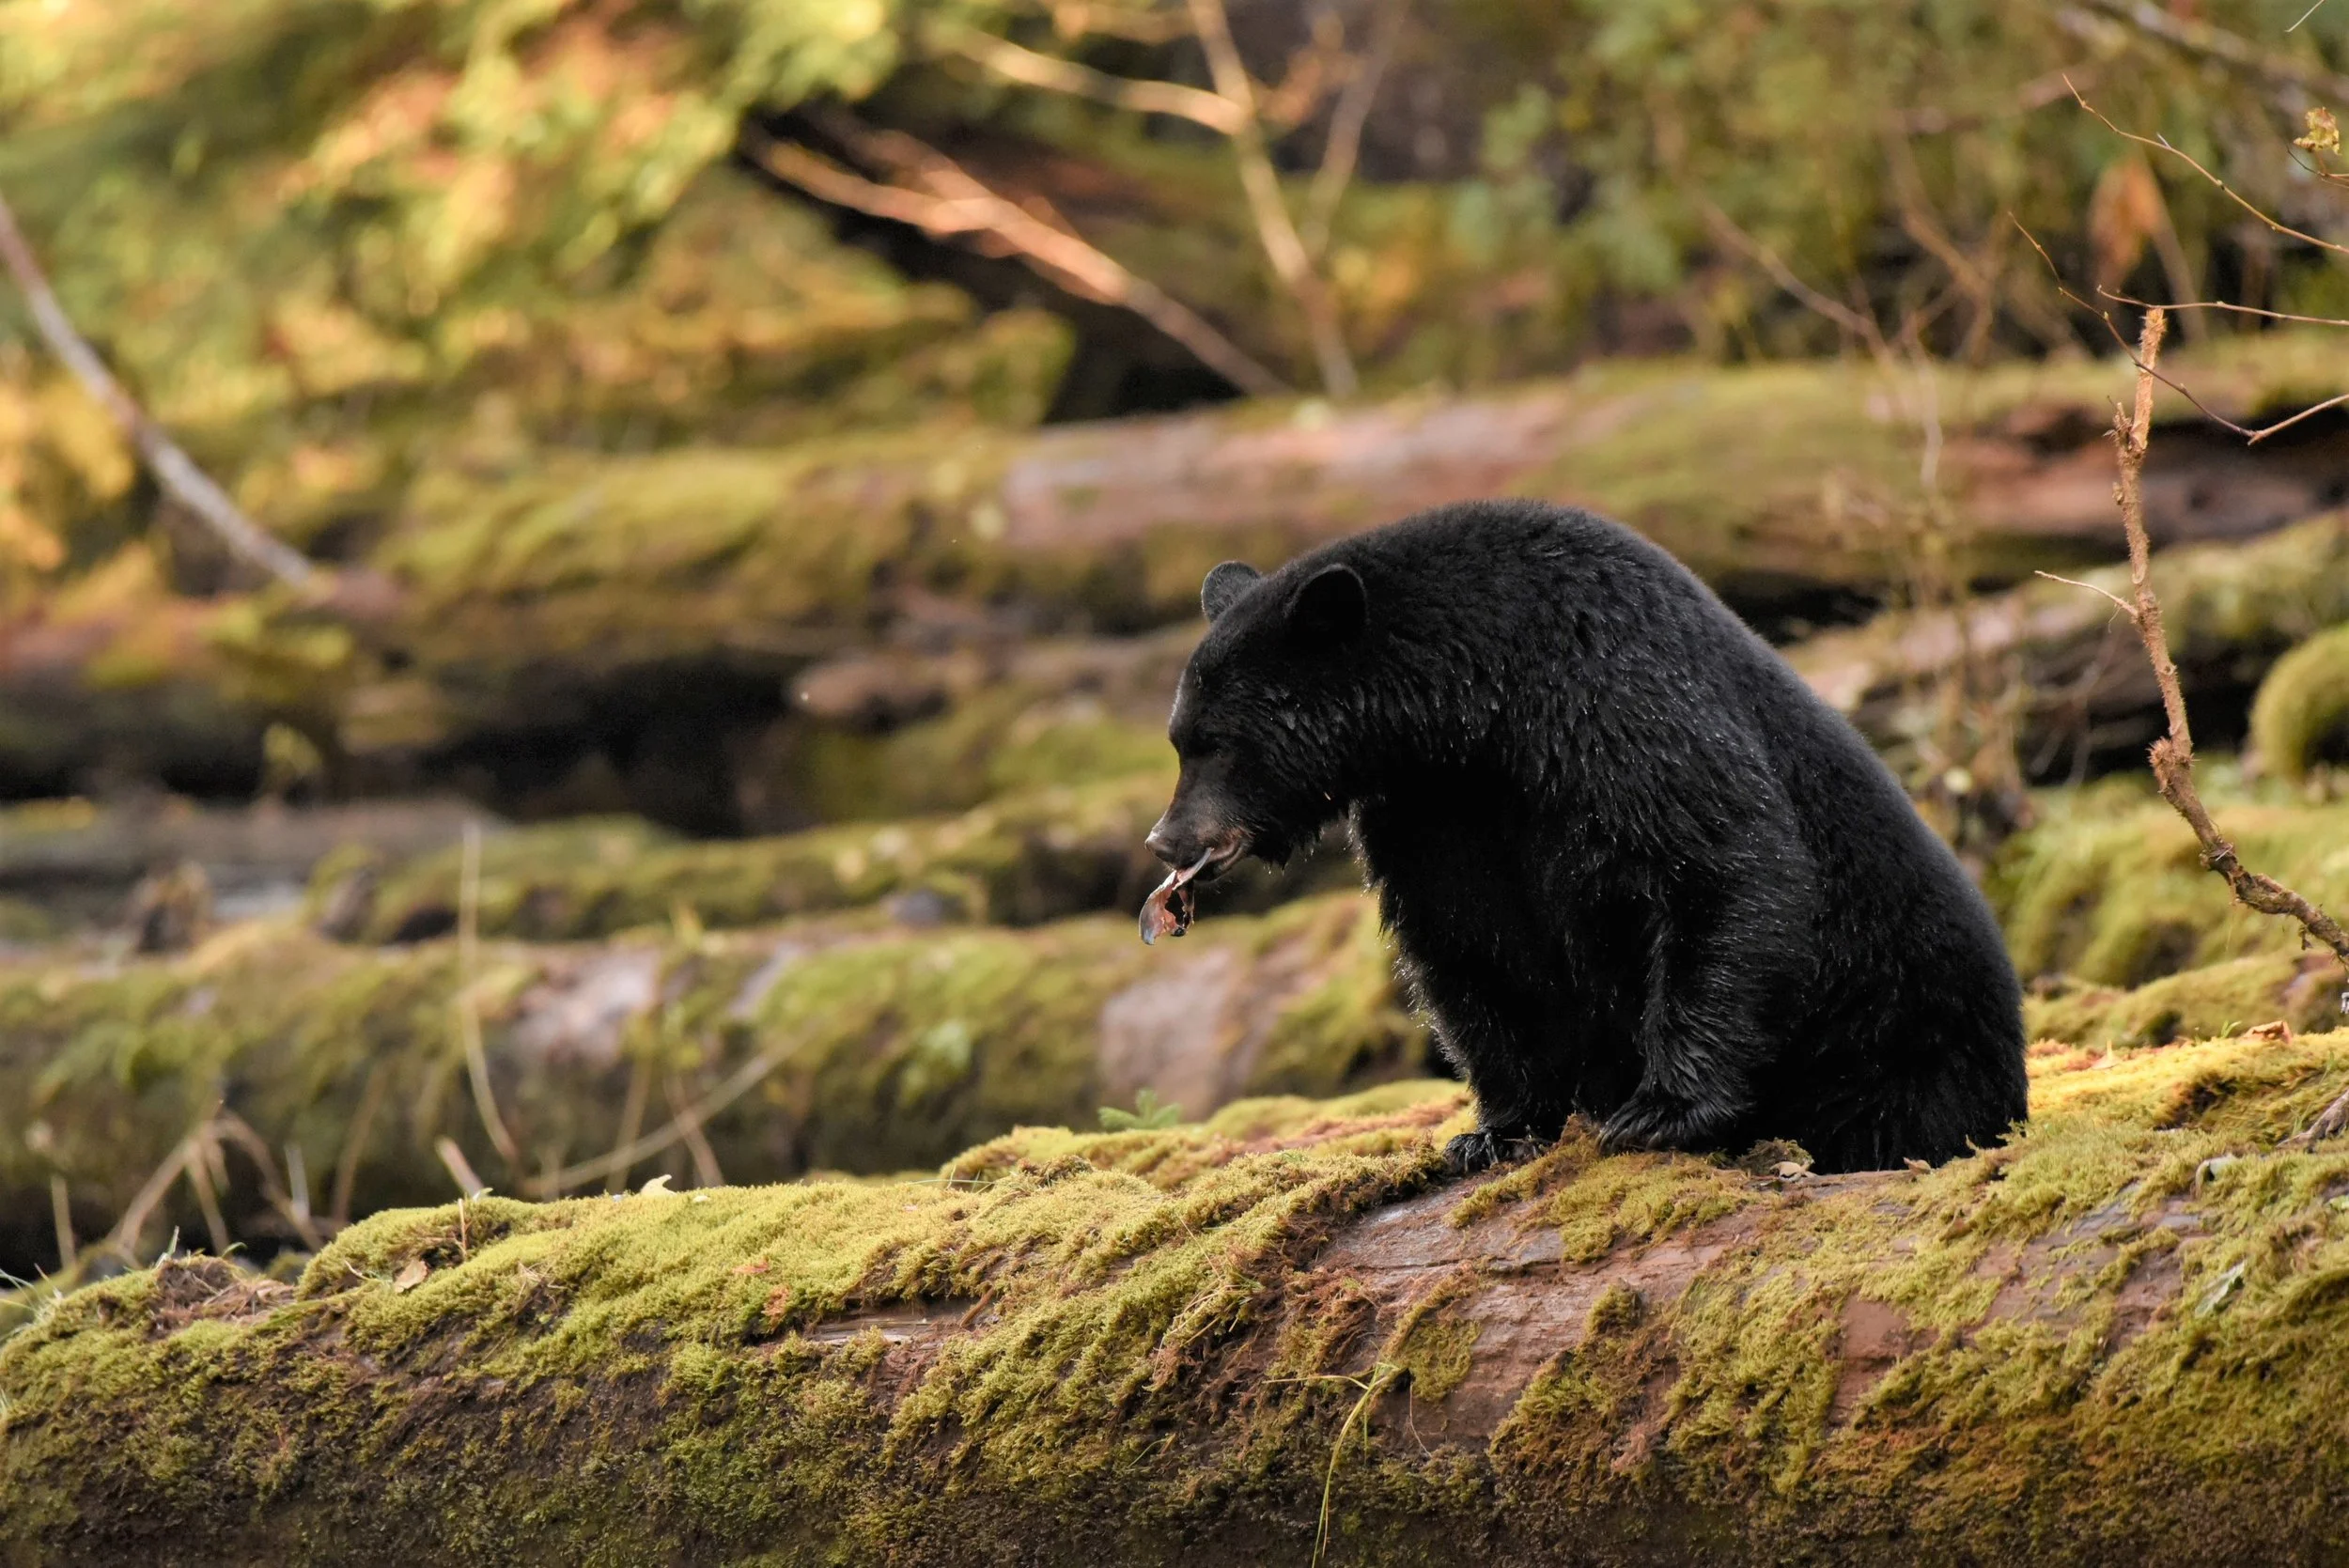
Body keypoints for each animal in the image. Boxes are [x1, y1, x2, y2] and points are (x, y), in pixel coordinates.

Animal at [1142, 499, 2029, 1175]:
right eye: (1179, 738)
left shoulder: (1613, 696)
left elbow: (1720, 863)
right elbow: (1472, 948)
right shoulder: (1433, 808)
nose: (1165, 841)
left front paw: (1658, 1112)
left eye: (1215, 742)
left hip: (1898, 1030)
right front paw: (1496, 1132)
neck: (1477, 706)